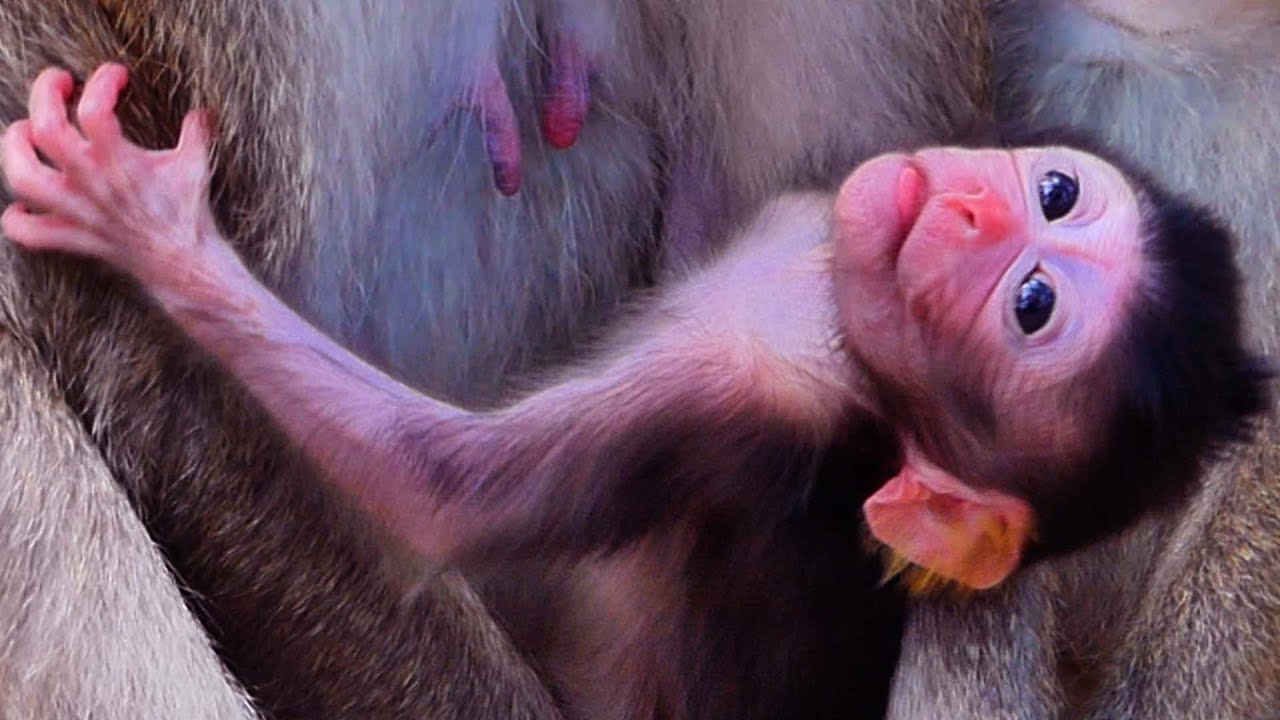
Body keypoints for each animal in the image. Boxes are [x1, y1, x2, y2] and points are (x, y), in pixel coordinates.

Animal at [3, 61, 1269, 719]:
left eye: (1031, 306)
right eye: (1054, 191)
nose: (969, 207)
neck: (845, 337)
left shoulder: (742, 388)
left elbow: (449, 491)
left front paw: (154, 231)